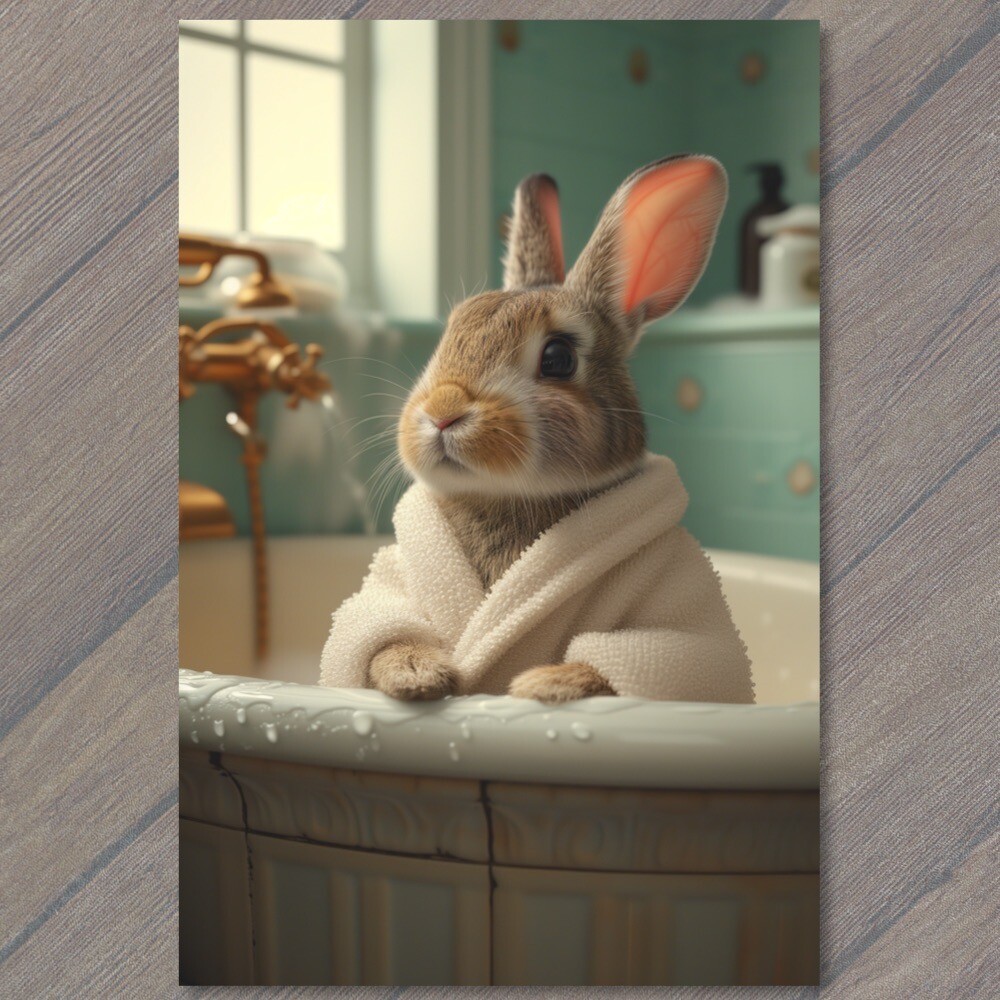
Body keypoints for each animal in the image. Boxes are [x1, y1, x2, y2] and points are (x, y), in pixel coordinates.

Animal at [367, 155, 728, 703]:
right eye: (446, 339)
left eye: (558, 358)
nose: (443, 409)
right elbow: (381, 636)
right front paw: (415, 673)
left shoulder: (673, 623)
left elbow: (641, 659)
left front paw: (544, 684)